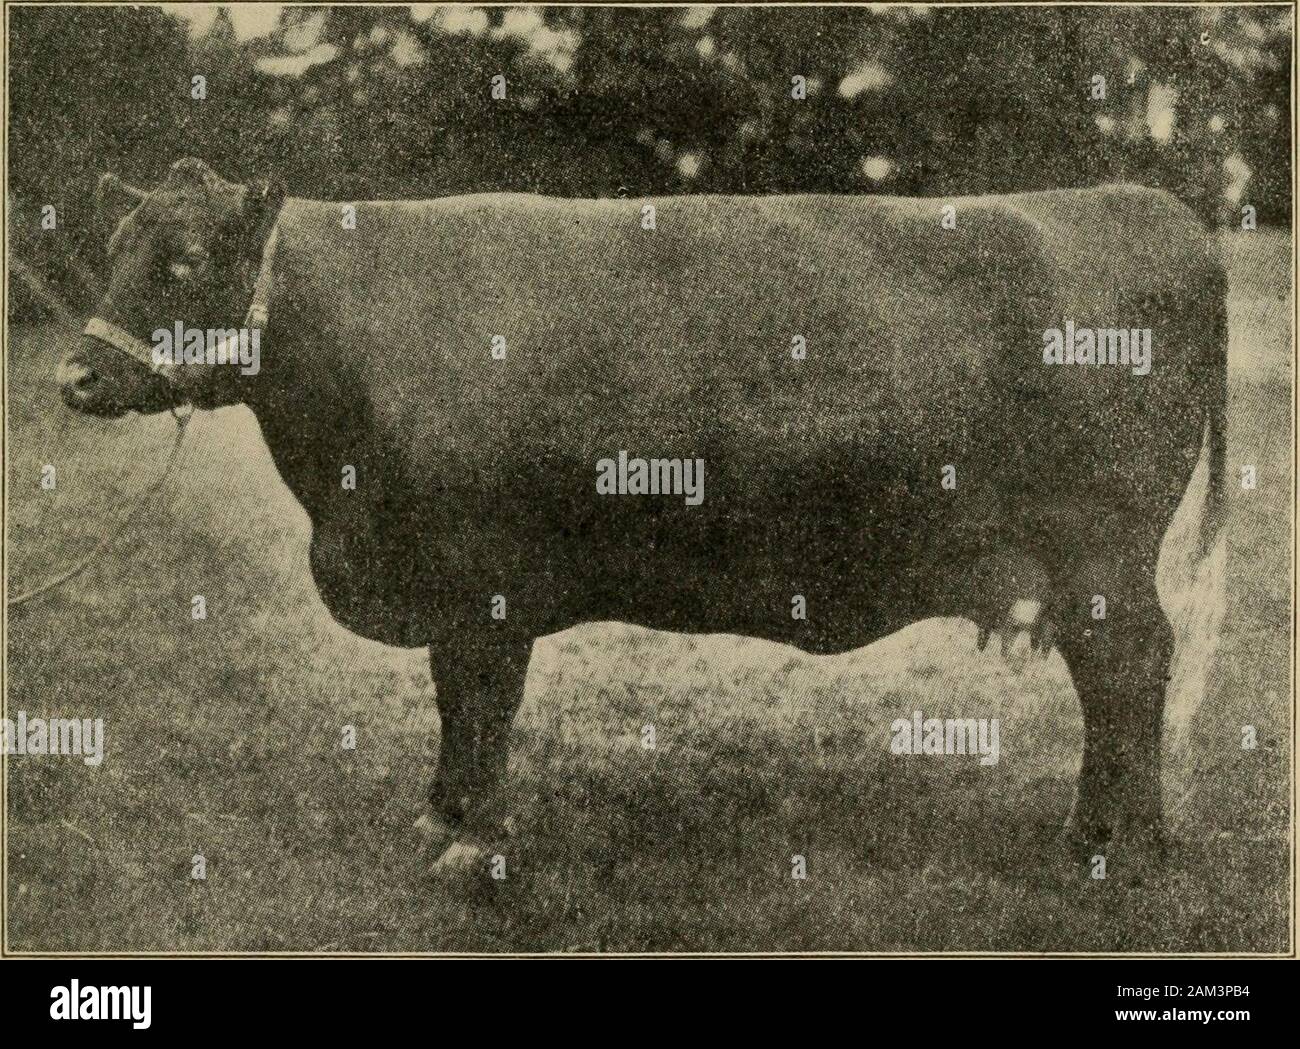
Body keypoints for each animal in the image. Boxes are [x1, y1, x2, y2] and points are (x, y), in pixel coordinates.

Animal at [56, 158, 1226, 875]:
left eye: (185, 259)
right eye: (113, 246)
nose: (75, 375)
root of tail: (1145, 205)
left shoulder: (485, 579)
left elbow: (481, 701)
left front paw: (474, 840)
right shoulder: (446, 584)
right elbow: (451, 701)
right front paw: (441, 812)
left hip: (1104, 553)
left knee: (1132, 668)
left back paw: (1118, 841)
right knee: (1120, 675)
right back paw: (1105, 829)